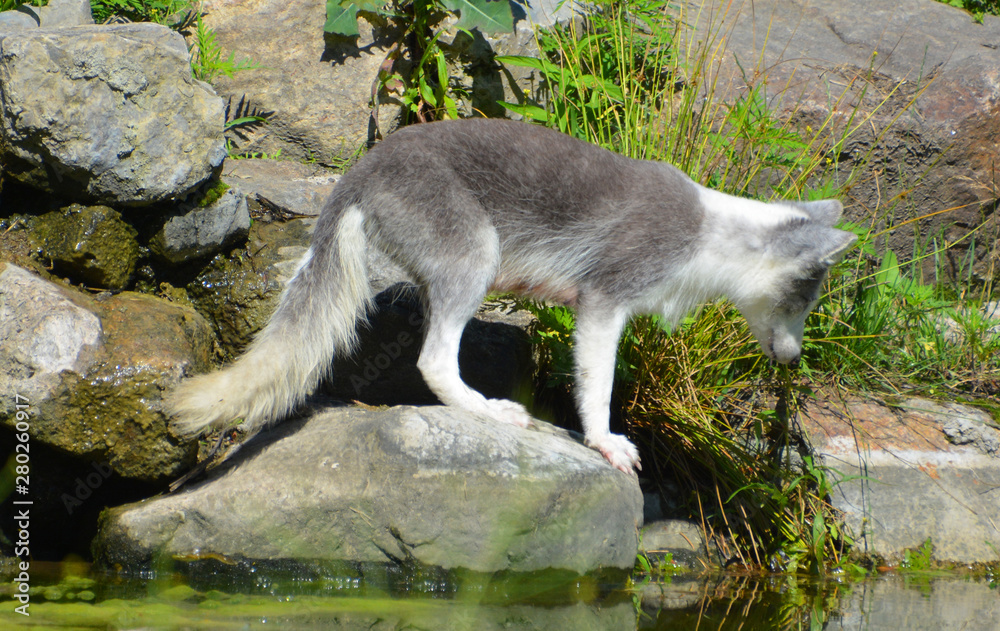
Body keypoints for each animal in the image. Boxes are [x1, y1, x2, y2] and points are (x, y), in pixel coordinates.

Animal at [168, 118, 857, 474]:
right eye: (805, 302)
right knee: (433, 361)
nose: (794, 360)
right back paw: (488, 410)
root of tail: (359, 171)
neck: (712, 235)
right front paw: (604, 442)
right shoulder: (603, 301)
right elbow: (597, 387)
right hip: (476, 257)